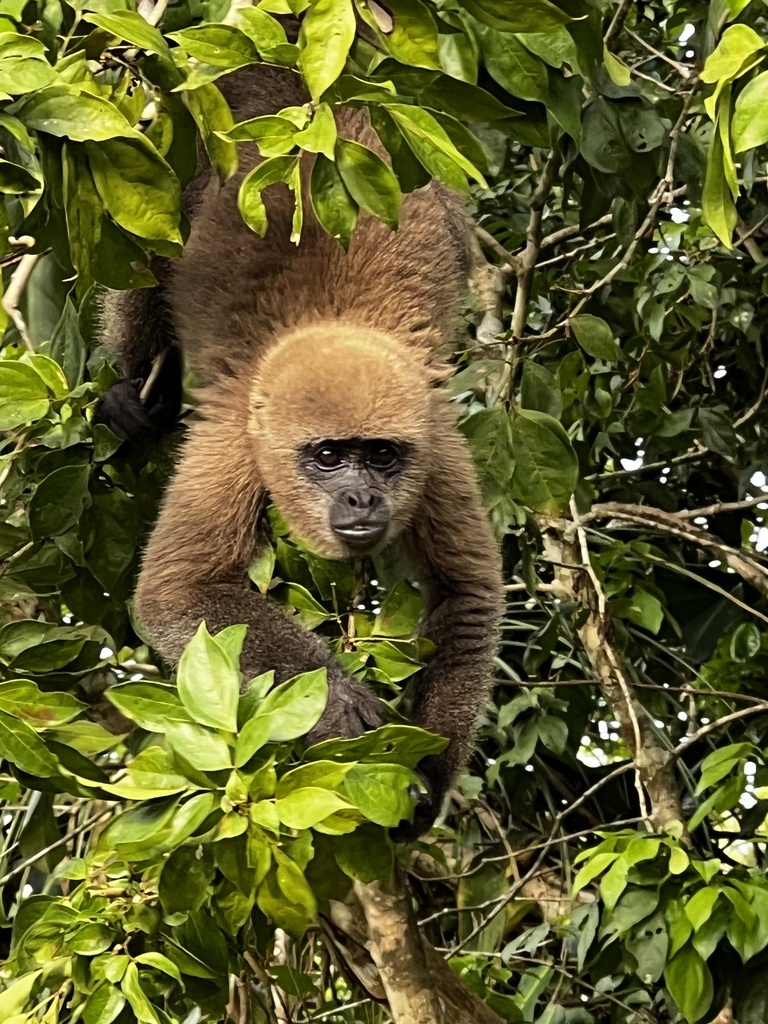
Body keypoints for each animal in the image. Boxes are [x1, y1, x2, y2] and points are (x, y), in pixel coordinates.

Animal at [99, 64, 505, 839]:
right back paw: (130, 395)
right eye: (326, 457)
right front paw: (340, 702)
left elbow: (466, 594)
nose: (361, 498)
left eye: (380, 457)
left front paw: (431, 780)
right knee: (149, 250)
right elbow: (179, 589)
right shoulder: (234, 441)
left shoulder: (433, 445)